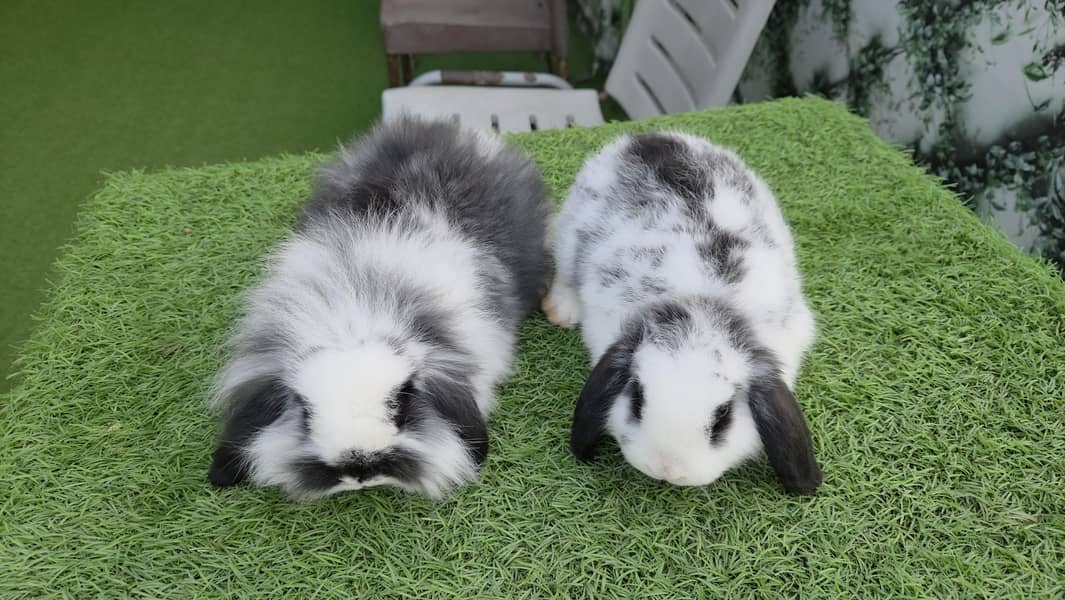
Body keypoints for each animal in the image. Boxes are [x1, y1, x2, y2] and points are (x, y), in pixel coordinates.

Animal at [544, 131, 822, 495]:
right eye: (637, 397)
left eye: (723, 417)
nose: (667, 468)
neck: (704, 303)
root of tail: (648, 136)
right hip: (569, 235)